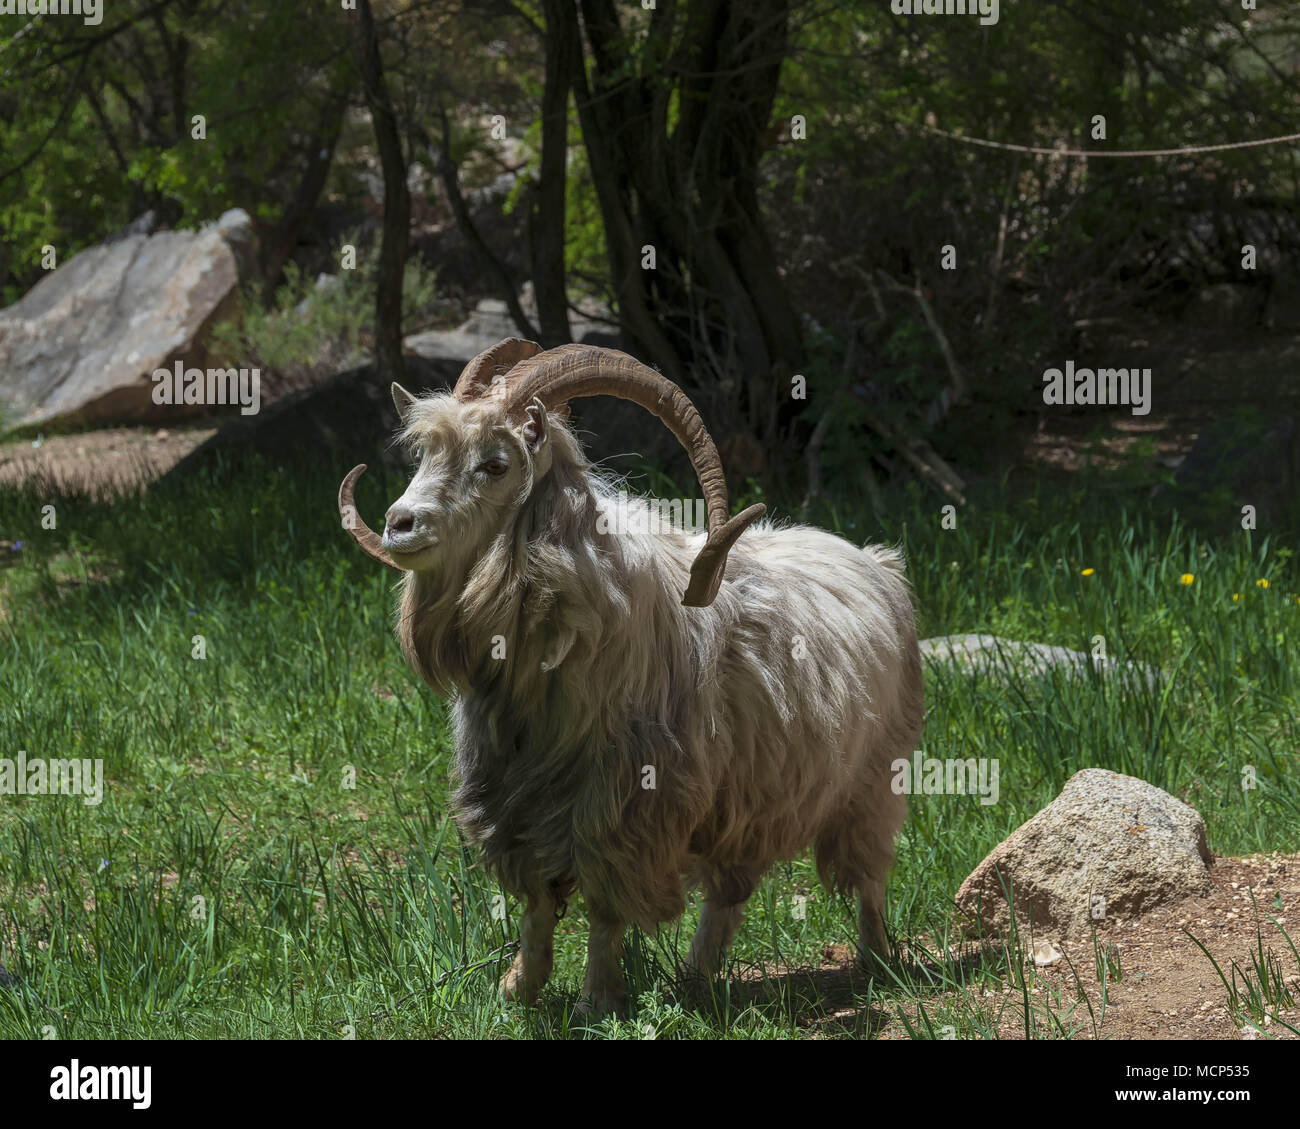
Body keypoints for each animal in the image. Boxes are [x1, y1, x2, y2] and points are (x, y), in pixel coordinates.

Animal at [338, 338, 924, 1015]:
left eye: (495, 464)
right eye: (423, 454)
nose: (399, 523)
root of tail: (875, 559)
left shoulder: (627, 802)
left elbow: (604, 906)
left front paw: (597, 1001)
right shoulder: (512, 798)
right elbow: (537, 902)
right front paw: (519, 988)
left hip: (872, 781)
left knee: (869, 875)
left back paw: (875, 961)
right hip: (750, 799)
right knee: (731, 891)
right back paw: (698, 976)